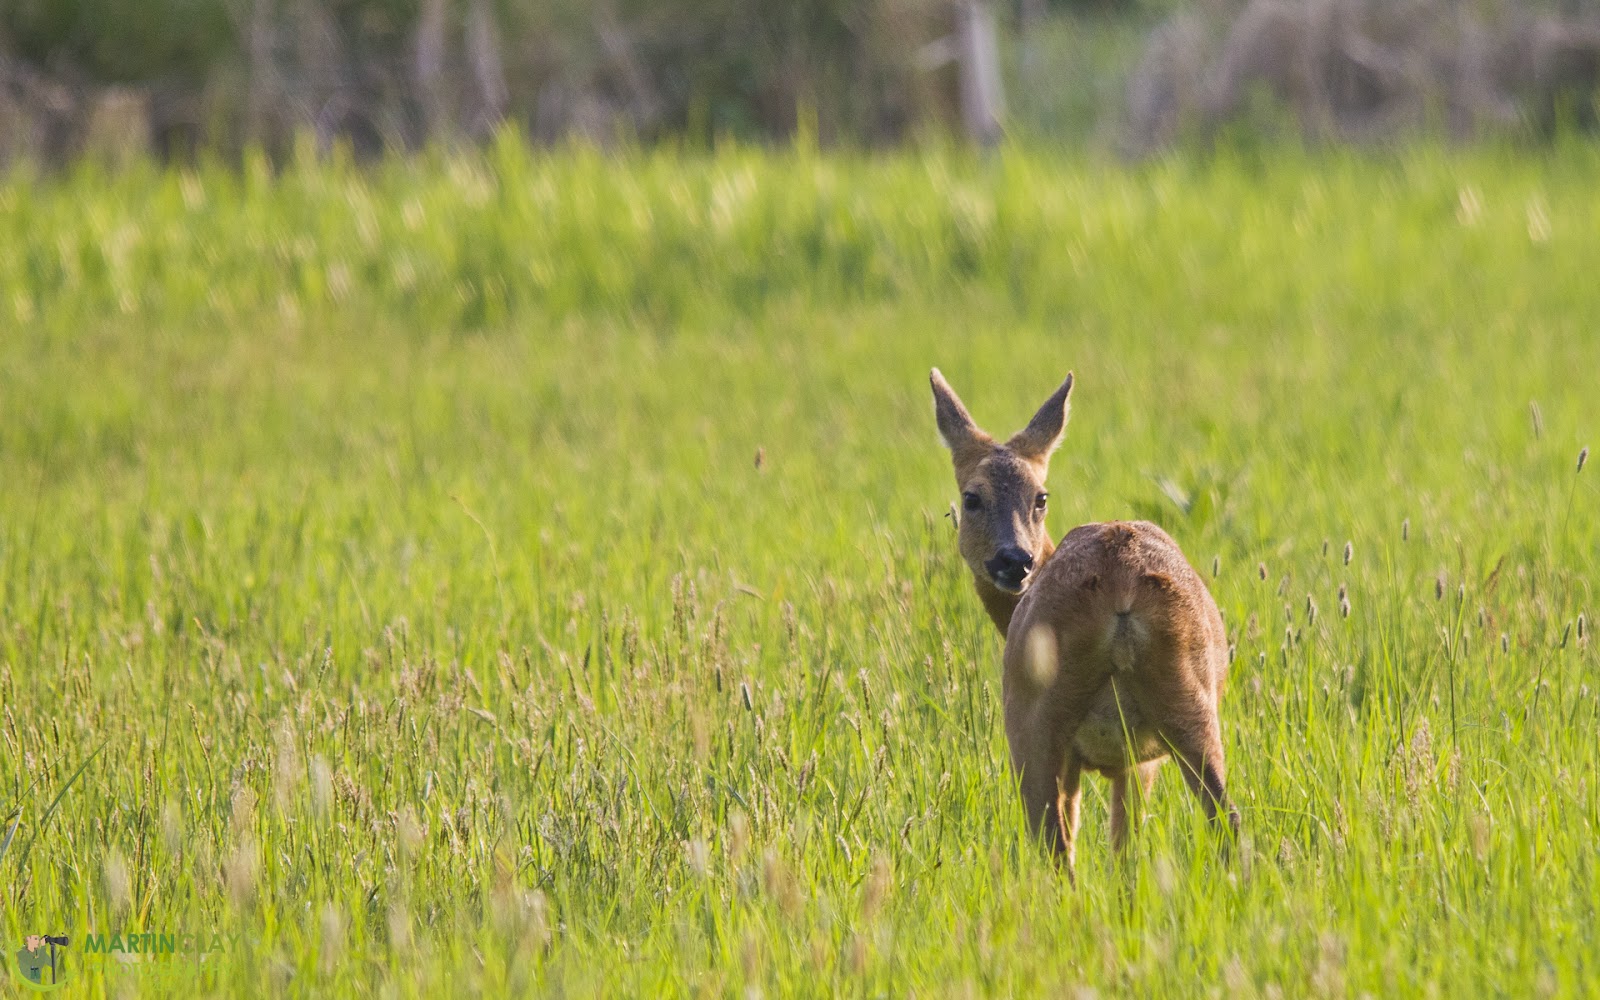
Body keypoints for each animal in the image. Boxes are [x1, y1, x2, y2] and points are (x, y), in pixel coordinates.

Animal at [929, 368, 1238, 880]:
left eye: (1040, 497)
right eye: (972, 498)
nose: (1015, 560)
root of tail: (1121, 579)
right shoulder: (1137, 760)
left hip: (1032, 723)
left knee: (1057, 852)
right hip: (1190, 702)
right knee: (1227, 820)